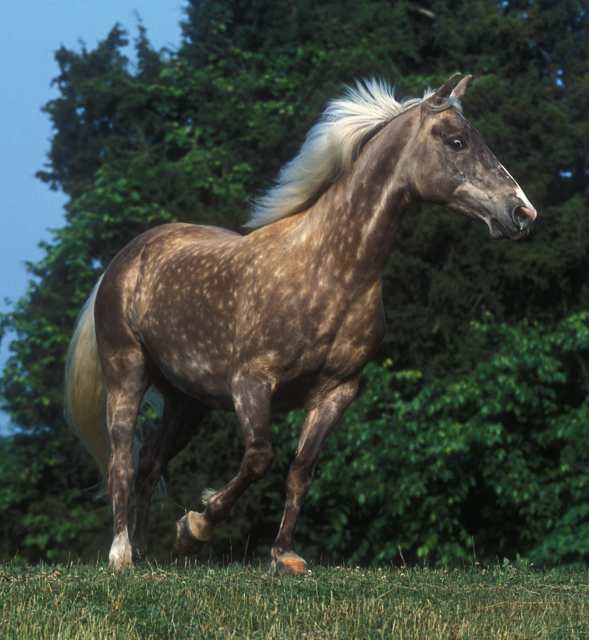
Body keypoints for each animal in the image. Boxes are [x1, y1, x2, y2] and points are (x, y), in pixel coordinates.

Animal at [64, 73, 537, 574]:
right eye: (456, 141)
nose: (522, 213)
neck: (332, 270)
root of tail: (126, 257)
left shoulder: (336, 392)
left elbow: (301, 469)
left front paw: (283, 555)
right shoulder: (251, 382)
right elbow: (259, 458)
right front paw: (197, 526)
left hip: (186, 401)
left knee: (151, 461)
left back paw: (146, 552)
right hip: (127, 372)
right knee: (122, 459)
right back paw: (121, 553)